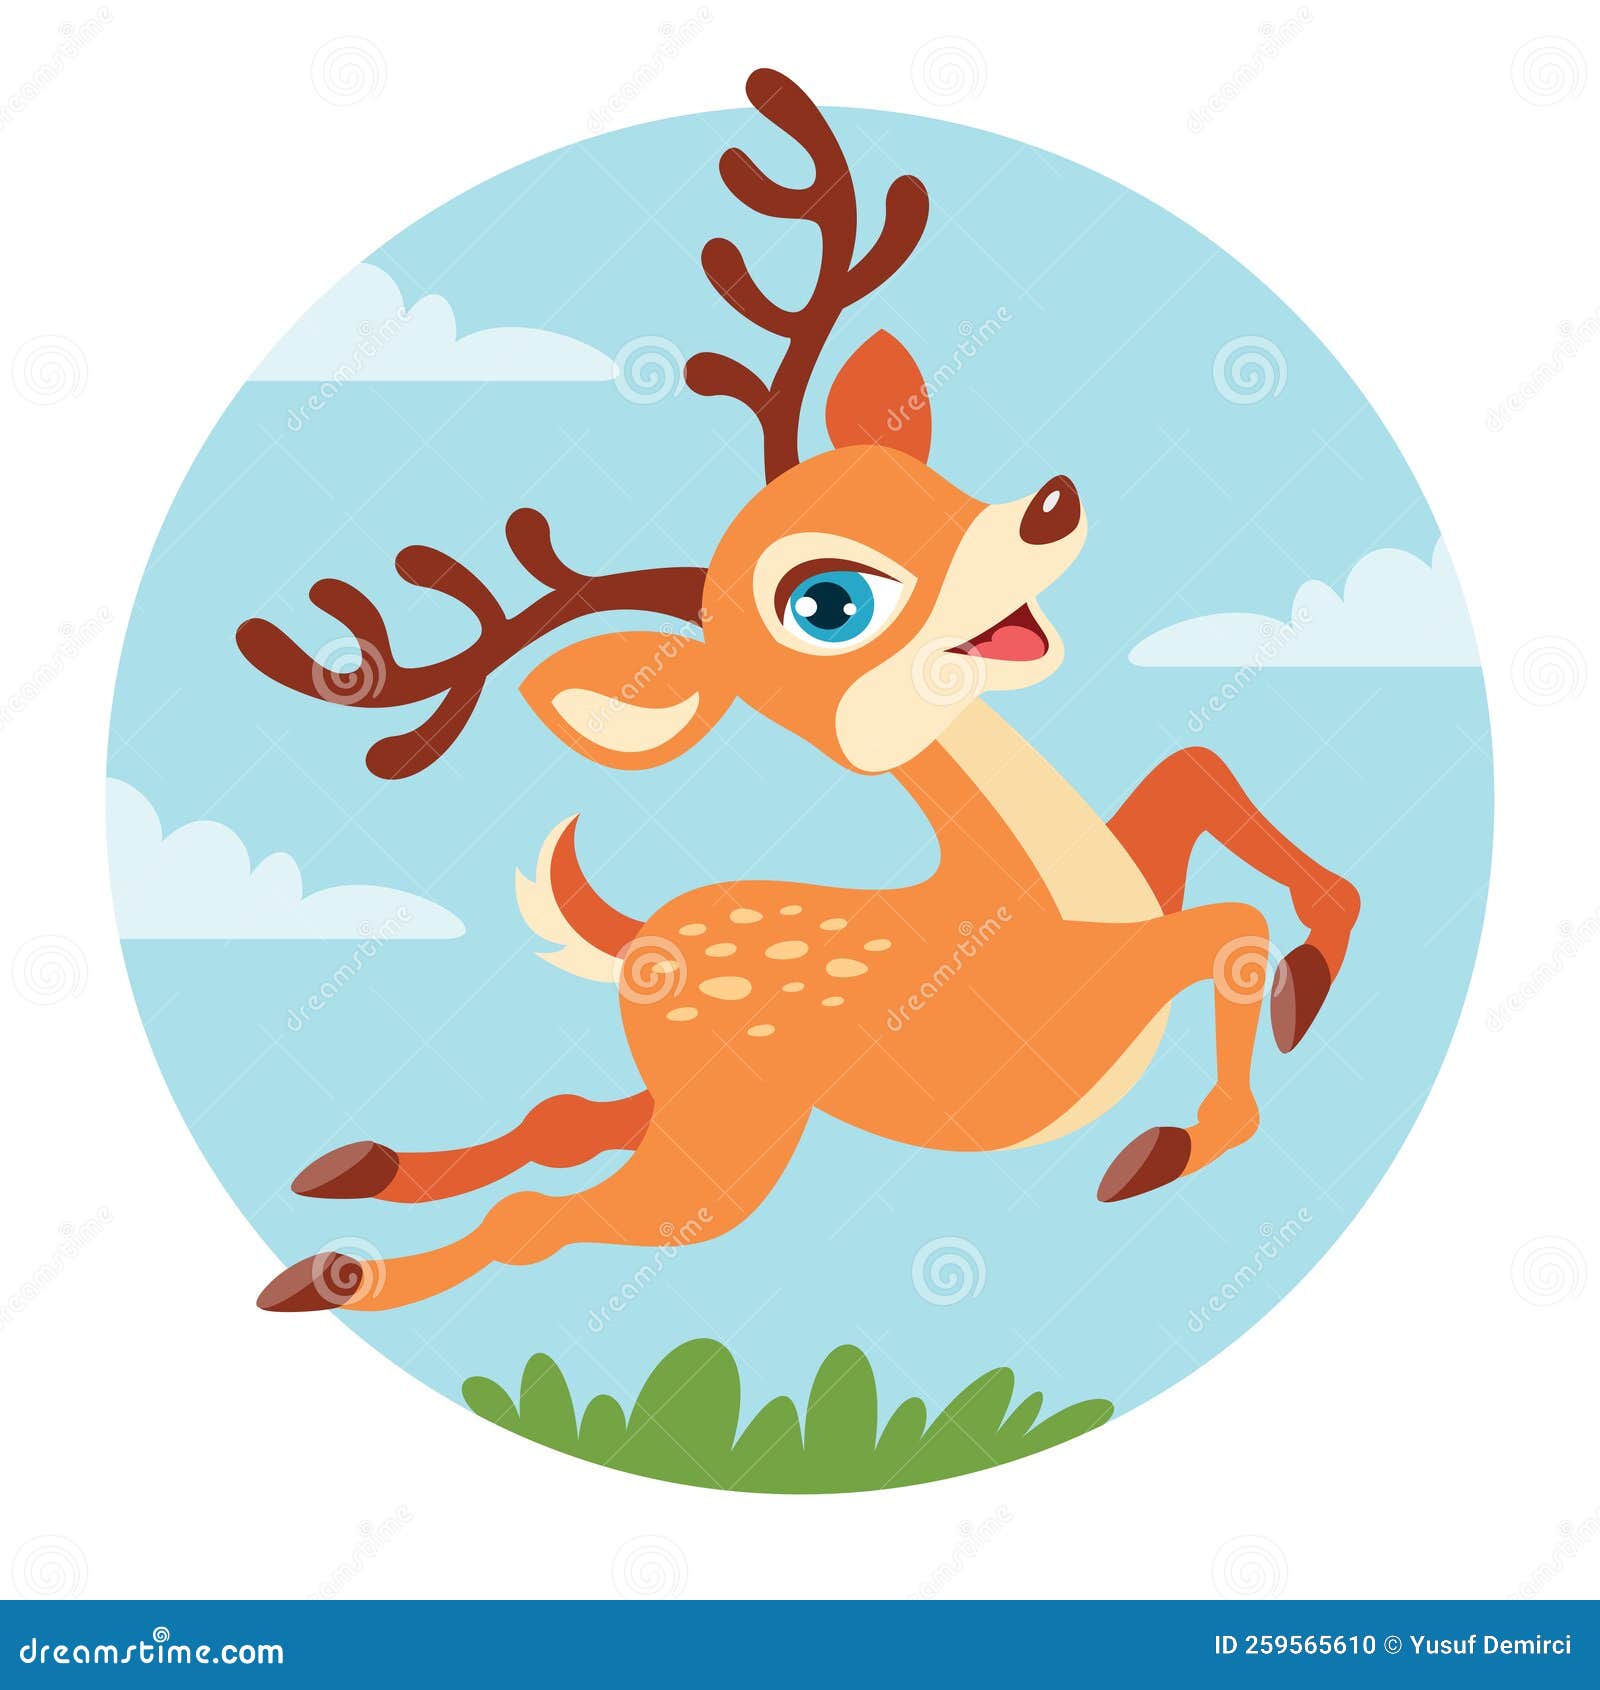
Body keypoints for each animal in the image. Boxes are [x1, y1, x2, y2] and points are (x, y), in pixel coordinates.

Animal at [242, 70, 1359, 1315]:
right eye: (827, 602)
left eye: (918, 470)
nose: (1046, 506)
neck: (1043, 895)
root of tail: (636, 939)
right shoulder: (1052, 1033)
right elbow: (1225, 928)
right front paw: (1175, 1140)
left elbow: (1197, 774)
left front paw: (1320, 965)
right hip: (728, 1144)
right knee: (546, 1217)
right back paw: (332, 1274)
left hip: (687, 1102)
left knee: (567, 1117)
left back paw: (363, 1168)